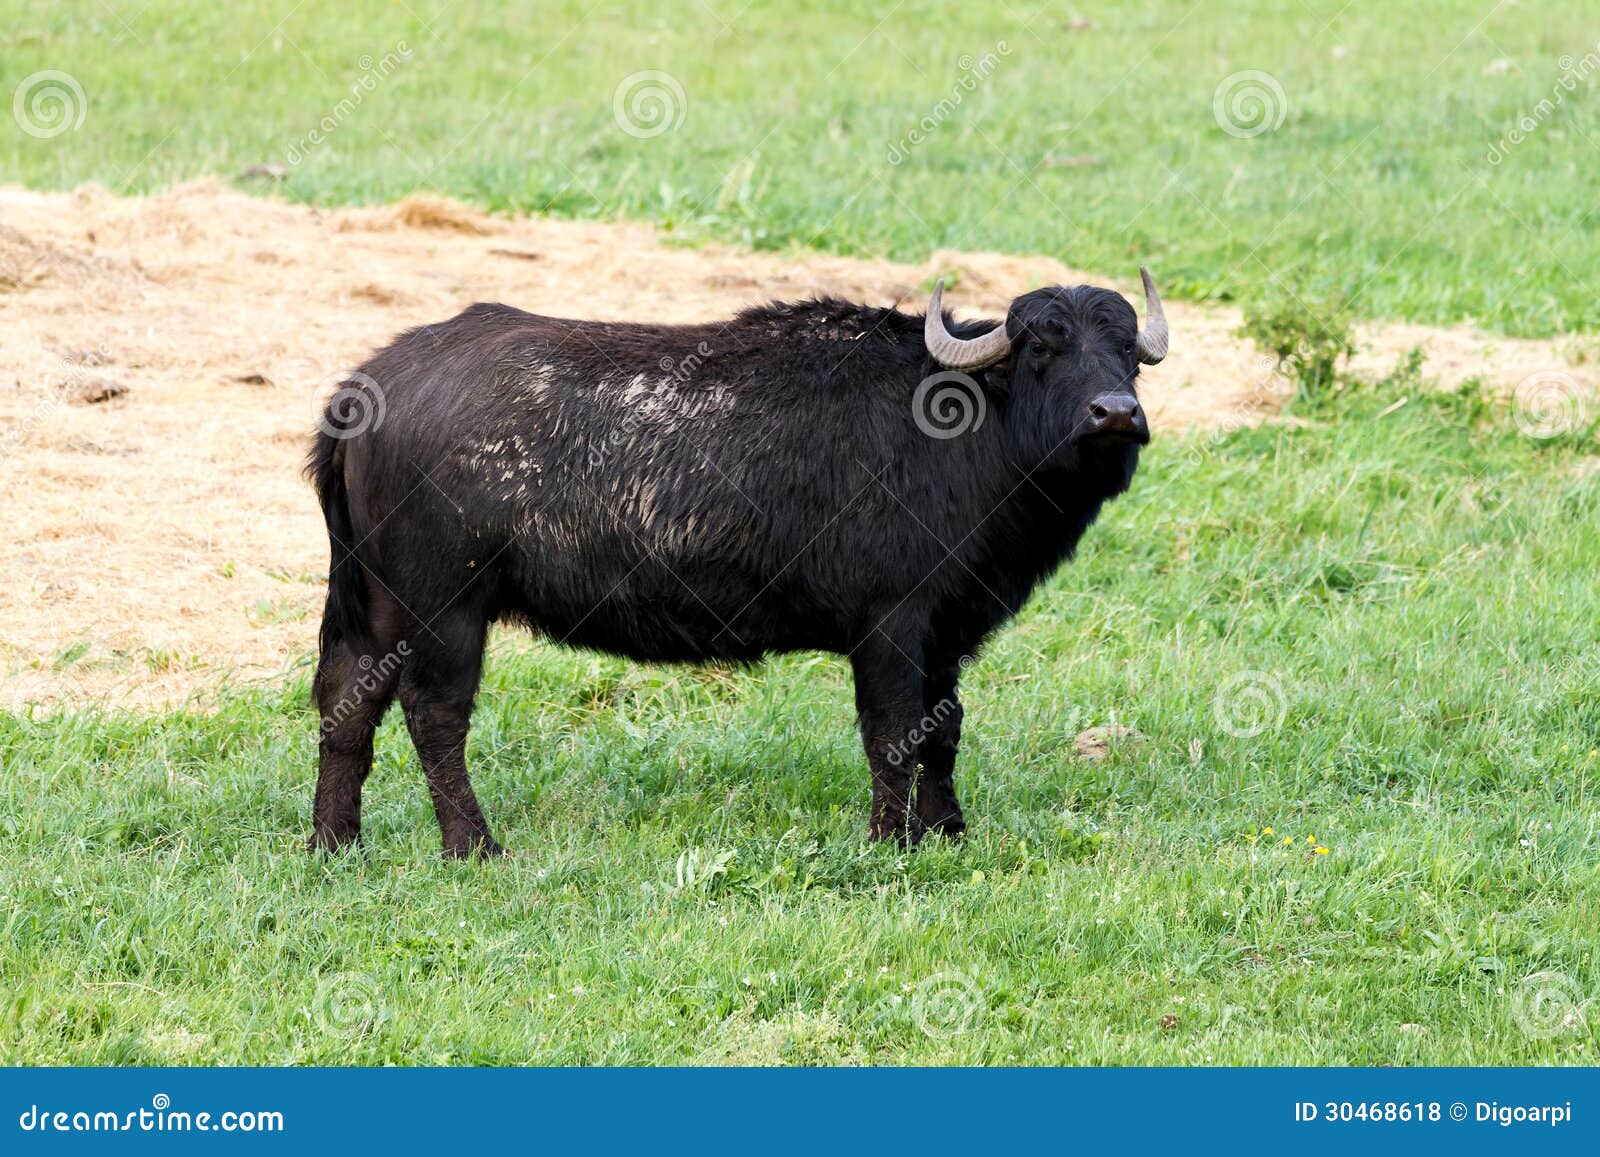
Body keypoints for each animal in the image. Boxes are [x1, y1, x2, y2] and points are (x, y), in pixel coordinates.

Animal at [307, 269, 1169, 857]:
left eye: (1127, 351)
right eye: (1041, 347)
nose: (1116, 414)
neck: (962, 427)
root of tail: (366, 389)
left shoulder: (947, 631)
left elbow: (945, 729)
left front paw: (949, 830)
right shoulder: (889, 622)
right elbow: (893, 732)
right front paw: (891, 840)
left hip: (377, 603)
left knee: (347, 703)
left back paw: (335, 842)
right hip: (445, 606)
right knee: (435, 716)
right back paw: (474, 846)